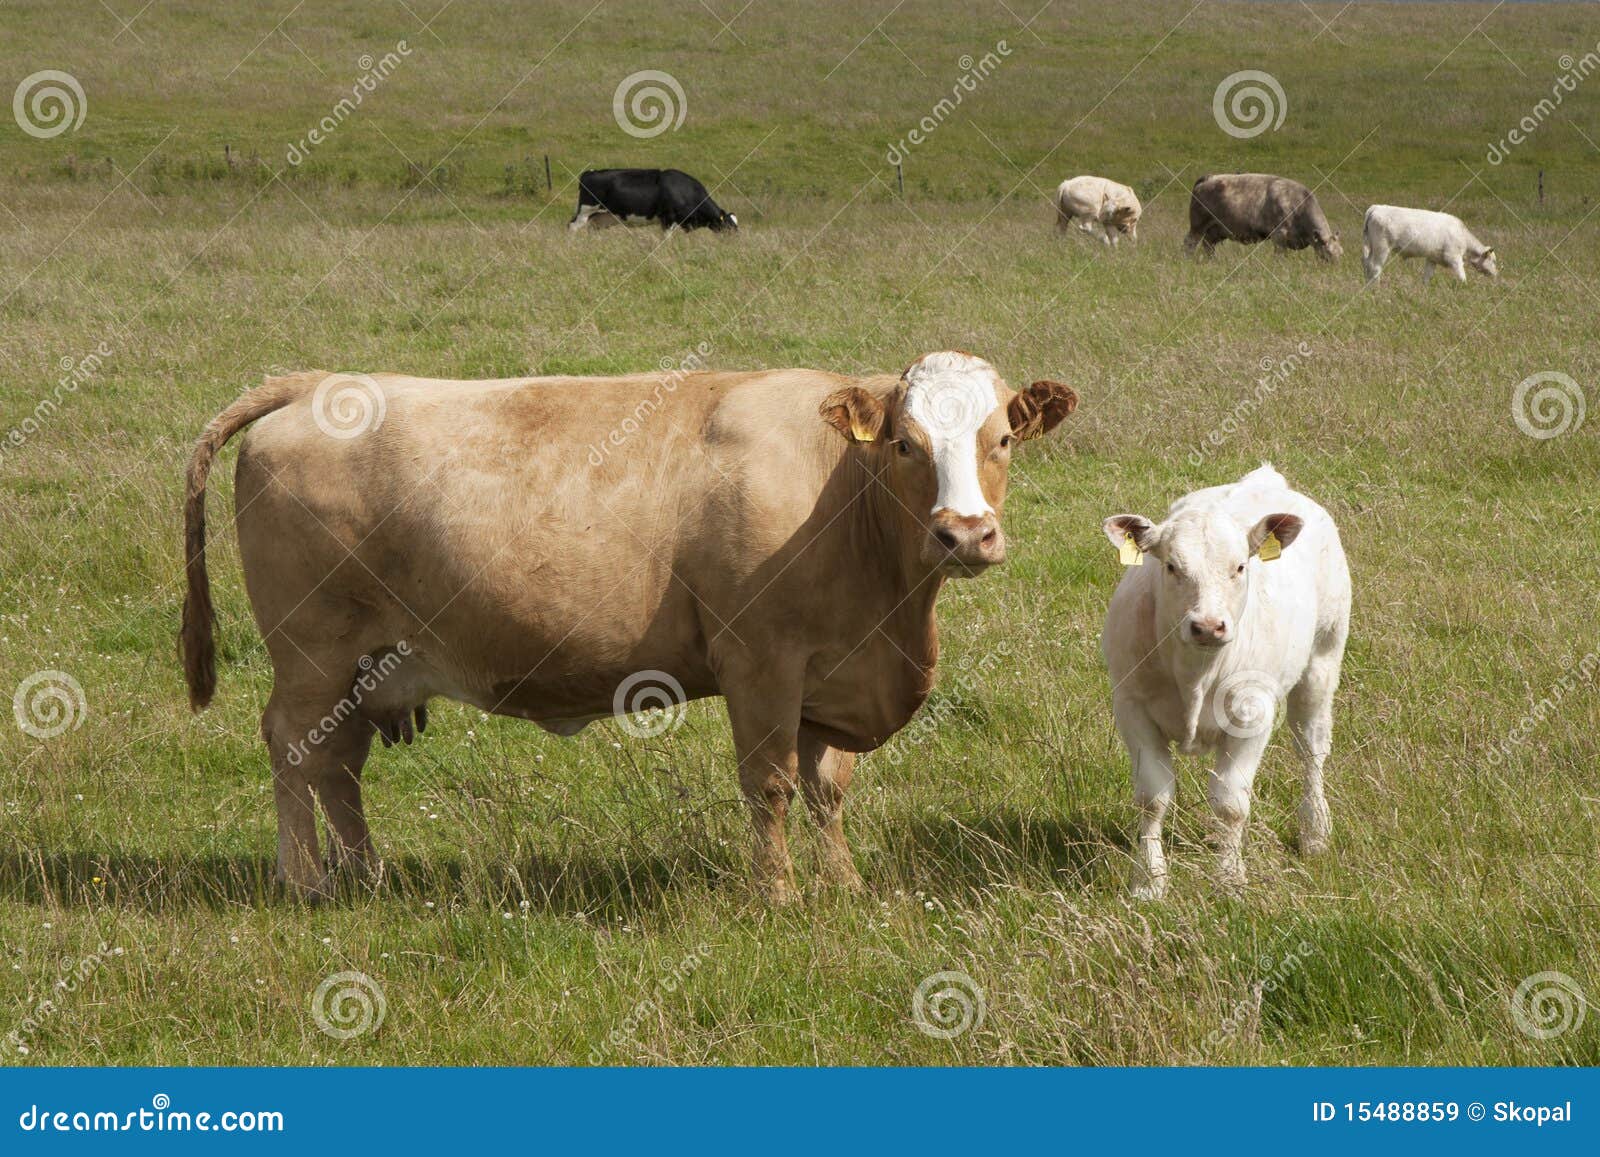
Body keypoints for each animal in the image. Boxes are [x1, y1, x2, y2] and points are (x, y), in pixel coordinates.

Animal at [180, 354, 1079, 902]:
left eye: (1002, 437)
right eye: (904, 443)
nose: (965, 534)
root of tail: (314, 384)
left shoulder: (833, 669)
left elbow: (829, 788)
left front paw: (844, 886)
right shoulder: (761, 661)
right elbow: (773, 783)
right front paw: (780, 894)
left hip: (367, 665)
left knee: (340, 765)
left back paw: (365, 873)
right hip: (312, 655)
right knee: (294, 748)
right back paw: (304, 880)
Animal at [569, 168, 737, 233]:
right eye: (730, 227)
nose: (735, 242)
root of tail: (589, 172)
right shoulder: (669, 219)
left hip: (601, 216)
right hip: (585, 211)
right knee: (572, 227)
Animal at [1100, 464, 1350, 900]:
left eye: (1240, 567)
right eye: (1171, 566)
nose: (1207, 626)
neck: (1195, 675)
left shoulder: (1254, 714)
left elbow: (1230, 802)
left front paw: (1230, 879)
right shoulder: (1131, 707)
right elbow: (1152, 797)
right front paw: (1149, 881)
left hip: (1322, 661)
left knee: (1312, 751)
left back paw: (1315, 832)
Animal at [1185, 173, 1342, 262]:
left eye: (1341, 253)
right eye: (1327, 254)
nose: (1334, 270)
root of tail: (1209, 177)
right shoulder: (1279, 235)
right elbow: (1279, 256)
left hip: (1214, 231)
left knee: (1208, 245)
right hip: (1197, 226)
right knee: (1189, 244)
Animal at [1362, 204, 1497, 284]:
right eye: (1493, 261)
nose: (1496, 274)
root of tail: (1377, 207)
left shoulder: (1432, 258)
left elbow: (1427, 276)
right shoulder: (1454, 257)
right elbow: (1461, 275)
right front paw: (1464, 286)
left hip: (1371, 246)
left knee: (1367, 264)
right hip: (1382, 247)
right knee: (1375, 267)